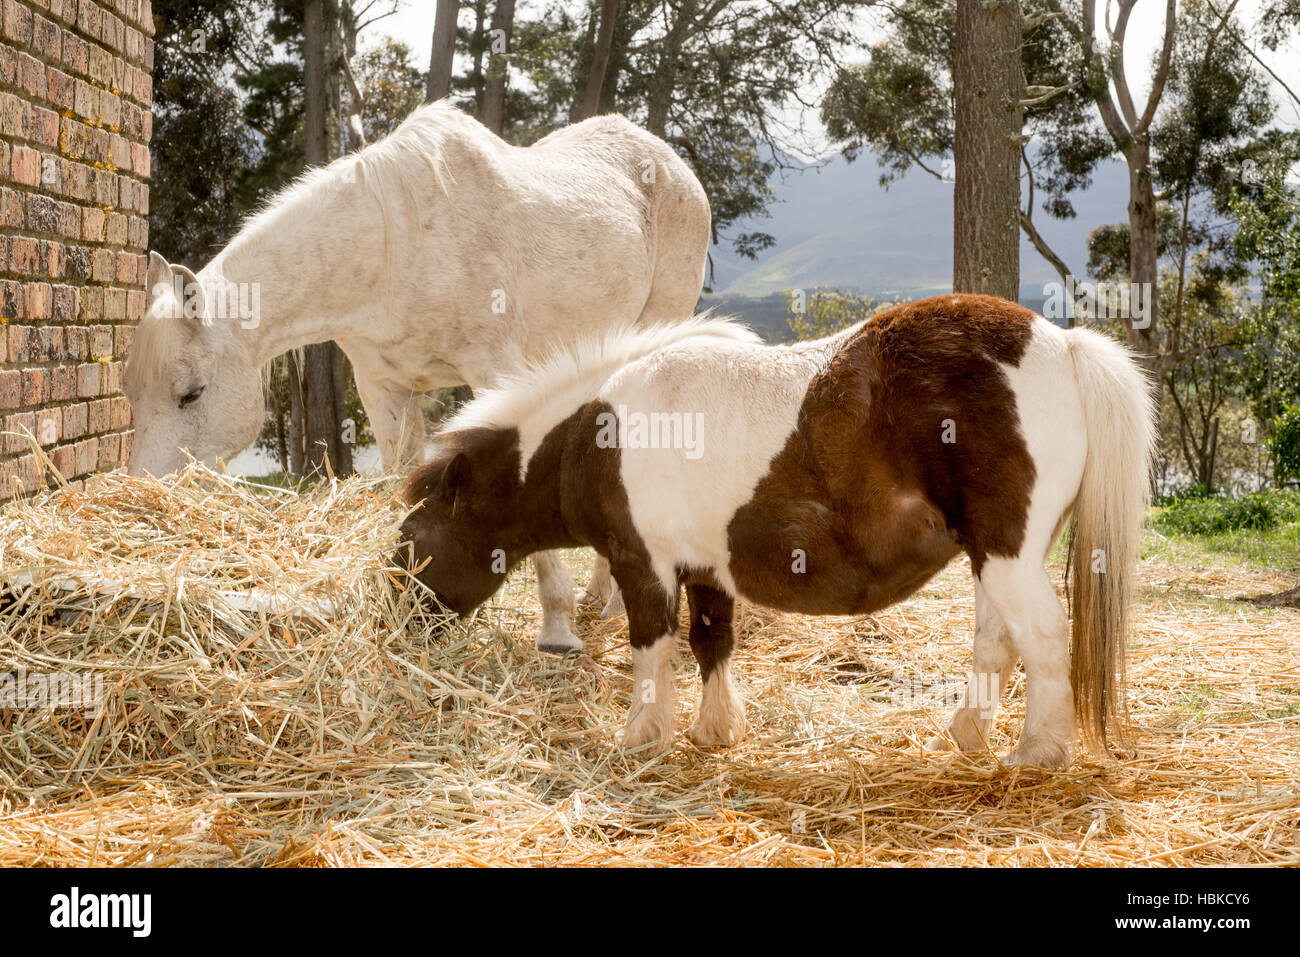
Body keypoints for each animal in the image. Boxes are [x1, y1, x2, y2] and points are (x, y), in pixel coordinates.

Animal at [123, 101, 710, 653]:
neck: (395, 249)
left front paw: (557, 628)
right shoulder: (384, 391)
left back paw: (613, 608)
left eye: (192, 394)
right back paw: (600, 596)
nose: (143, 498)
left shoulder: (498, 372)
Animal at [395, 295, 1157, 769]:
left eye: (414, 542)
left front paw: (642, 737)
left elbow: (651, 649)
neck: (598, 431)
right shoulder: (704, 568)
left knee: (1044, 638)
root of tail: (1062, 343)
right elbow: (712, 642)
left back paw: (1038, 752)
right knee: (997, 641)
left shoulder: (644, 565)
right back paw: (971, 735)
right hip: (997, 556)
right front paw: (715, 730)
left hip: (1005, 554)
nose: (400, 624)